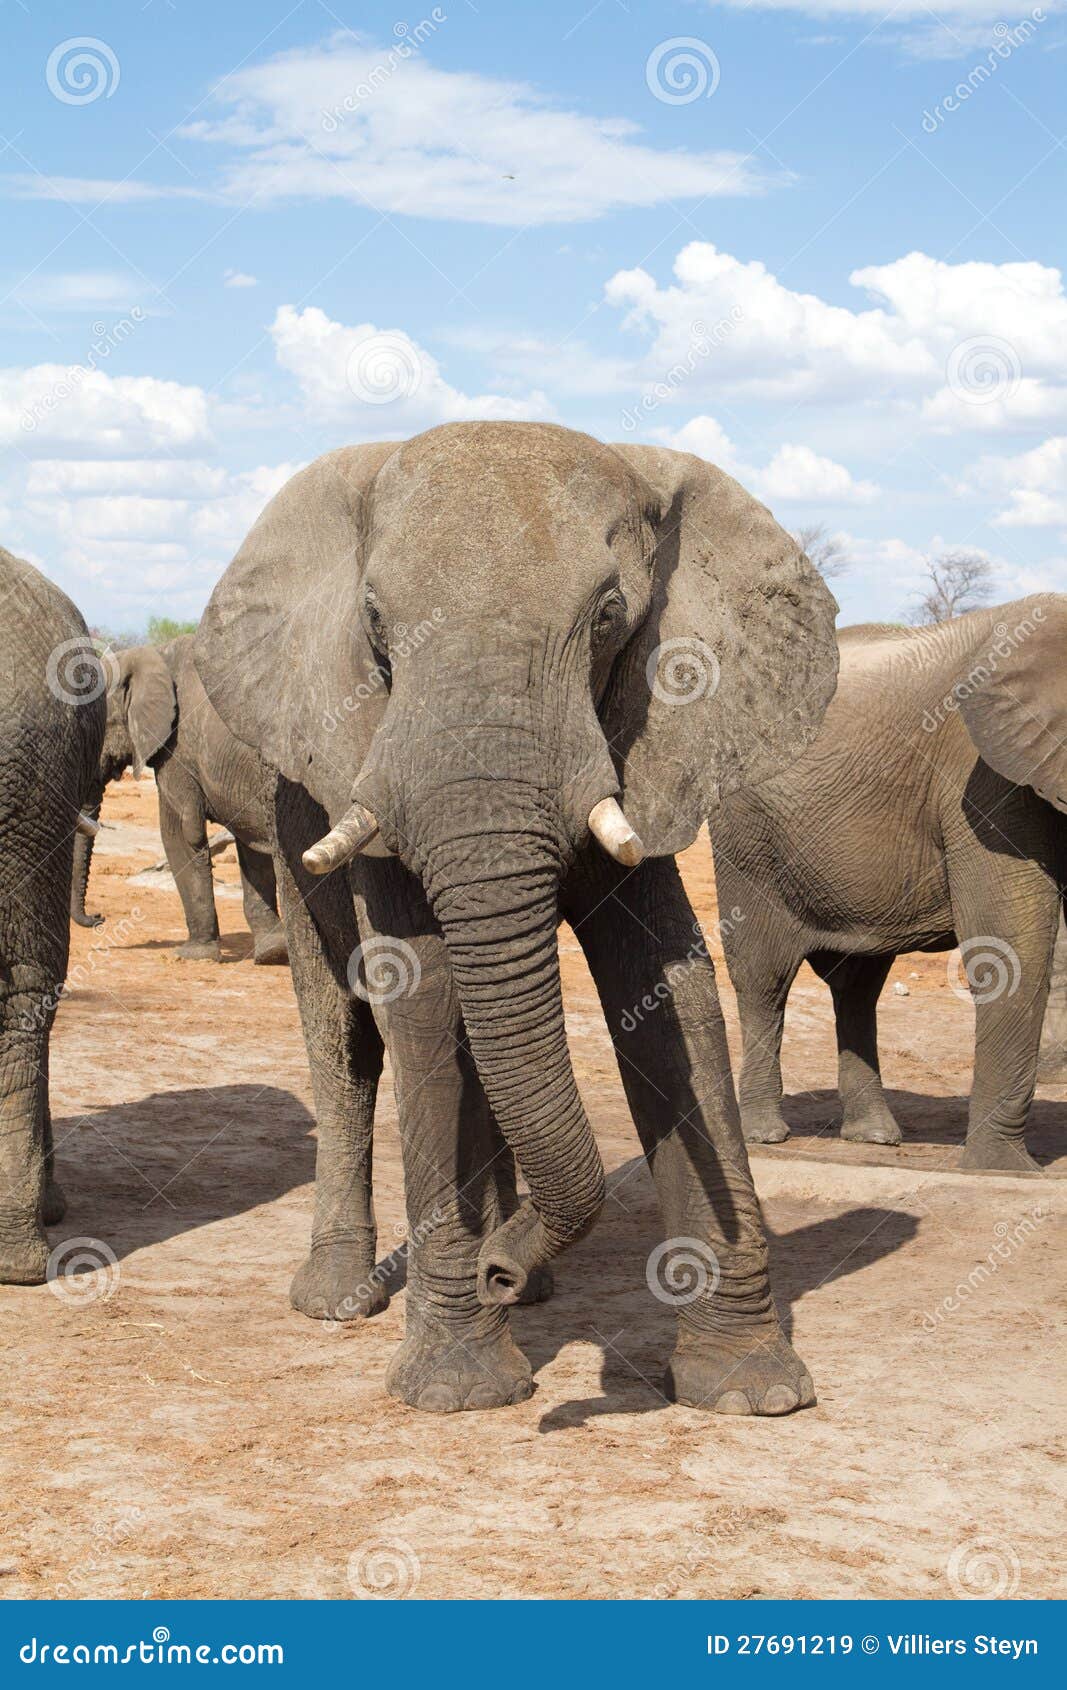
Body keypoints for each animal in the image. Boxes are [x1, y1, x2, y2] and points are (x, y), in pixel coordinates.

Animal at [73, 635, 288, 966]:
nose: (98, 918)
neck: (153, 654)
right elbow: (251, 846)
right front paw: (273, 953)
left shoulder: (177, 750)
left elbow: (179, 835)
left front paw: (193, 954)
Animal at [194, 422, 838, 1416]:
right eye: (374, 627)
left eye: (608, 618)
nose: (495, 1269)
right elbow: (422, 998)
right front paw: (456, 1392)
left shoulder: (643, 742)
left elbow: (668, 993)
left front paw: (750, 1391)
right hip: (292, 800)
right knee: (343, 1036)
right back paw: (343, 1298)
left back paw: (521, 1286)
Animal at [712, 599, 1066, 1174]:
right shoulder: (985, 779)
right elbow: (1011, 945)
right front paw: (1005, 1170)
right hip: (746, 837)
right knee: (763, 978)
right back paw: (764, 1135)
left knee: (856, 984)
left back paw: (874, 1137)